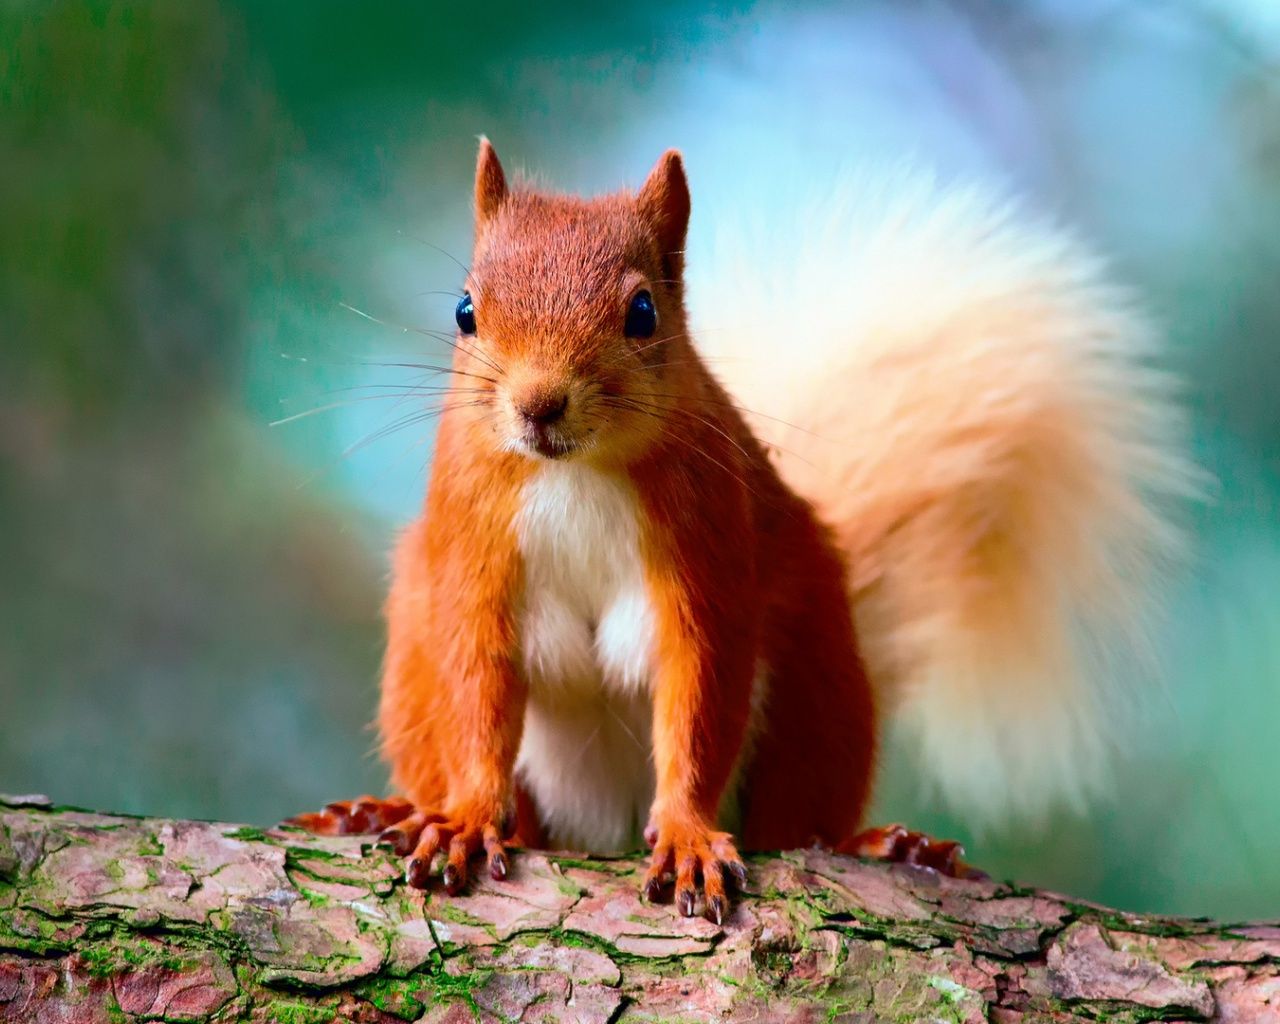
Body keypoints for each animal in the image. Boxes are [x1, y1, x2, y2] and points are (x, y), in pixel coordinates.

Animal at [290, 140, 1194, 923]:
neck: (573, 471)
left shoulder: (709, 551)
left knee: (796, 822)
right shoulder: (473, 550)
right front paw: (469, 819)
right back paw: (382, 809)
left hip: (817, 680)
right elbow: (478, 689)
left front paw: (688, 834)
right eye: (465, 310)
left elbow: (699, 696)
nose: (538, 404)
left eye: (643, 312)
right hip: (414, 642)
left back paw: (886, 846)